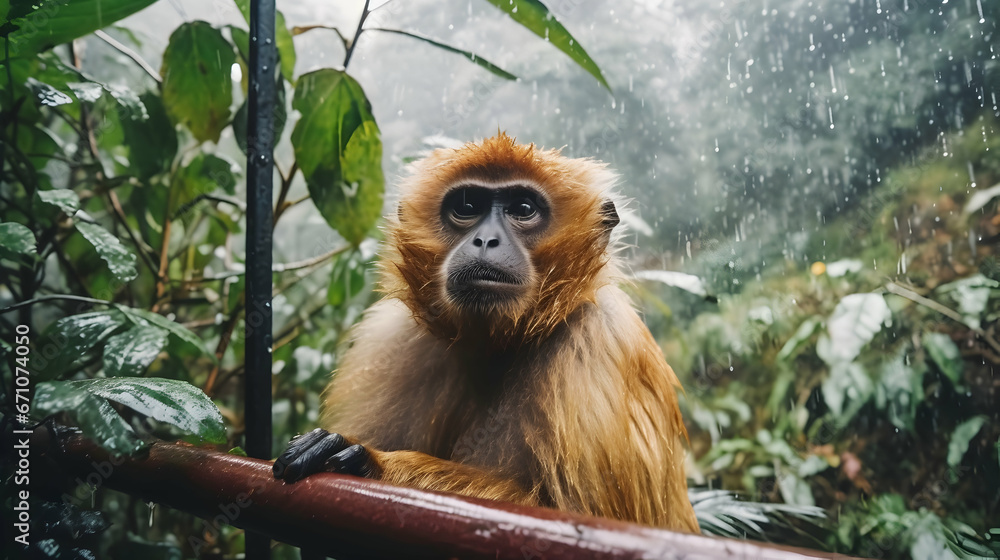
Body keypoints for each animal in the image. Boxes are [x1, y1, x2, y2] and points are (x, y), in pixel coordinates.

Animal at [273, 133, 700, 533]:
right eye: (467, 207)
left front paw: (372, 463)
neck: (498, 347)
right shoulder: (390, 340)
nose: (485, 239)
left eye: (523, 209)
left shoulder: (598, 340)